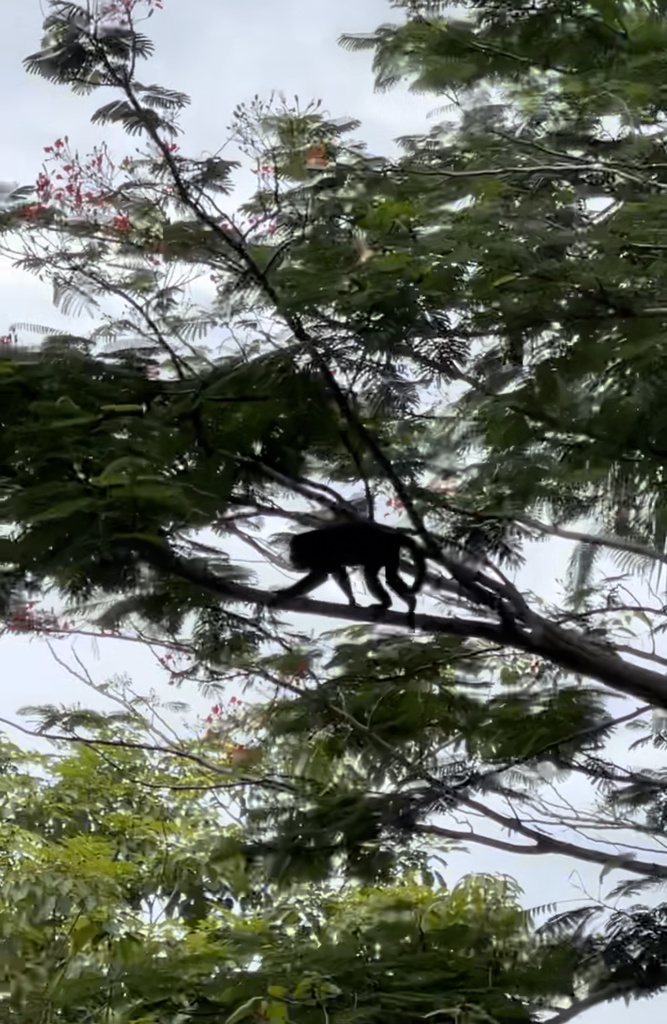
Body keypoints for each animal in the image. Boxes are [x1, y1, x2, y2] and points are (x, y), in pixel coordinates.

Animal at [271, 521, 426, 626]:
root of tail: (390, 536)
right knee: (391, 578)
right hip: (391, 555)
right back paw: (411, 603)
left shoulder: (321, 556)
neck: (312, 545)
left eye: (294, 550)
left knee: (371, 575)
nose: (290, 556)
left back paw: (386, 603)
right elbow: (339, 573)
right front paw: (351, 599)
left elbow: (320, 575)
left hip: (382, 552)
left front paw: (286, 593)